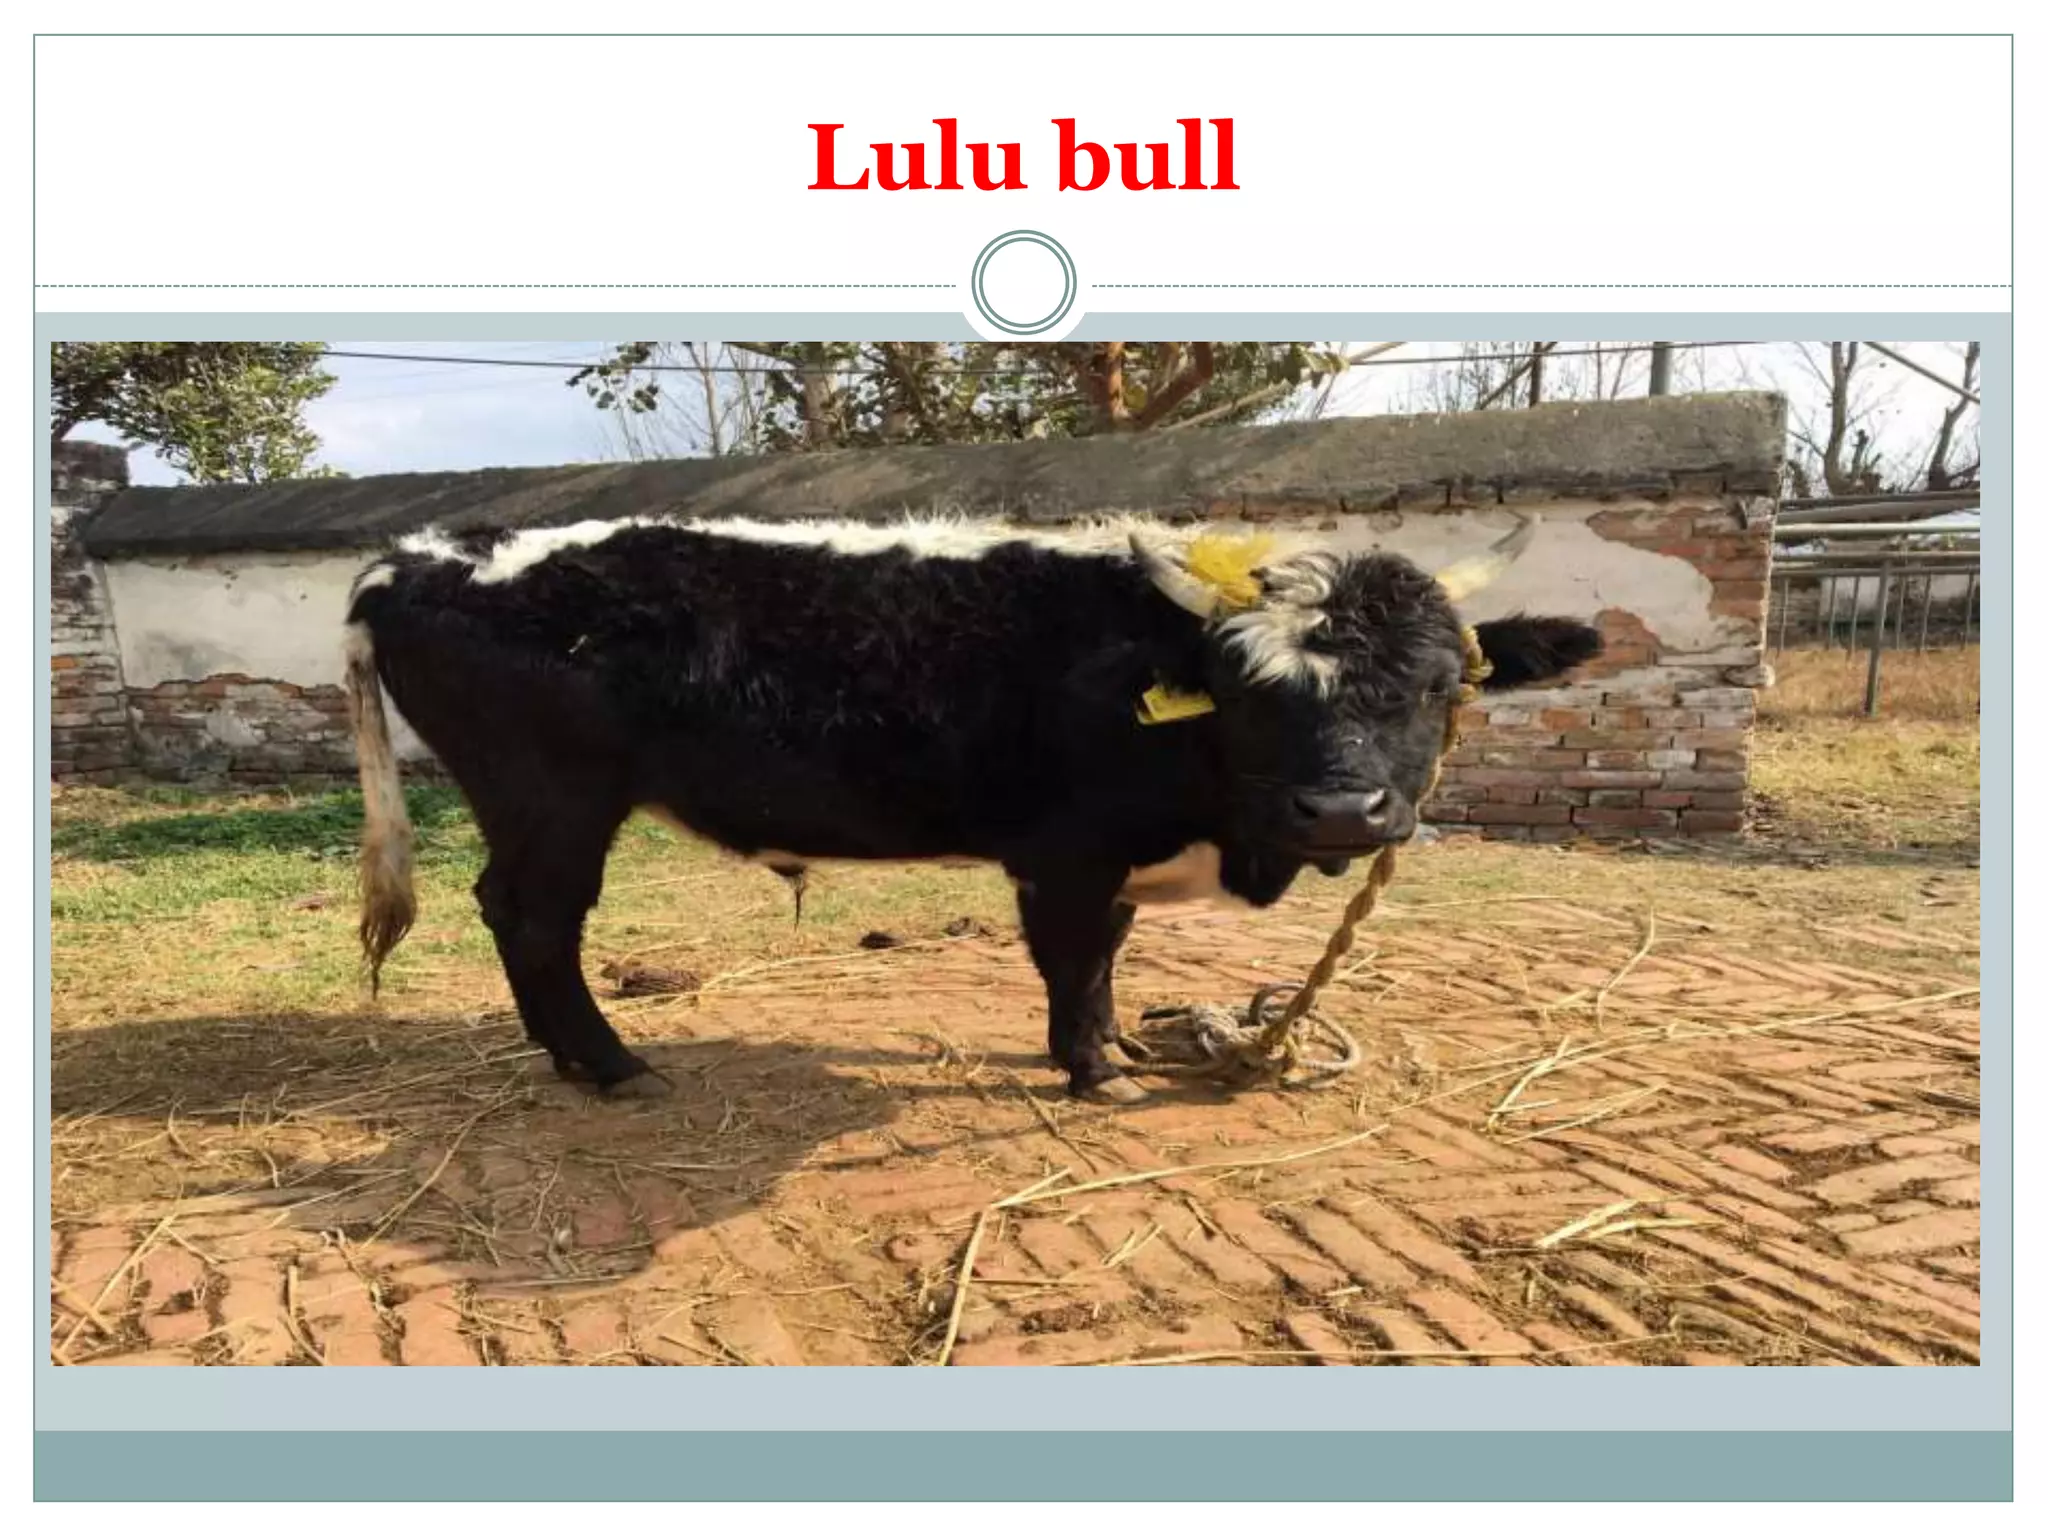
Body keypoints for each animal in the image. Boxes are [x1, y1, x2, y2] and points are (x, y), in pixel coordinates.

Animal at [342, 512, 1602, 1104]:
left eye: (1436, 686)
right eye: (1248, 689)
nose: (1342, 810)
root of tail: (419, 558)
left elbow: (1109, 957)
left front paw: (1107, 1048)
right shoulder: (1066, 854)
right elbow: (1074, 960)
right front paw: (1090, 1067)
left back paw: (573, 1060)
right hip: (555, 803)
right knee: (534, 919)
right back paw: (609, 1064)